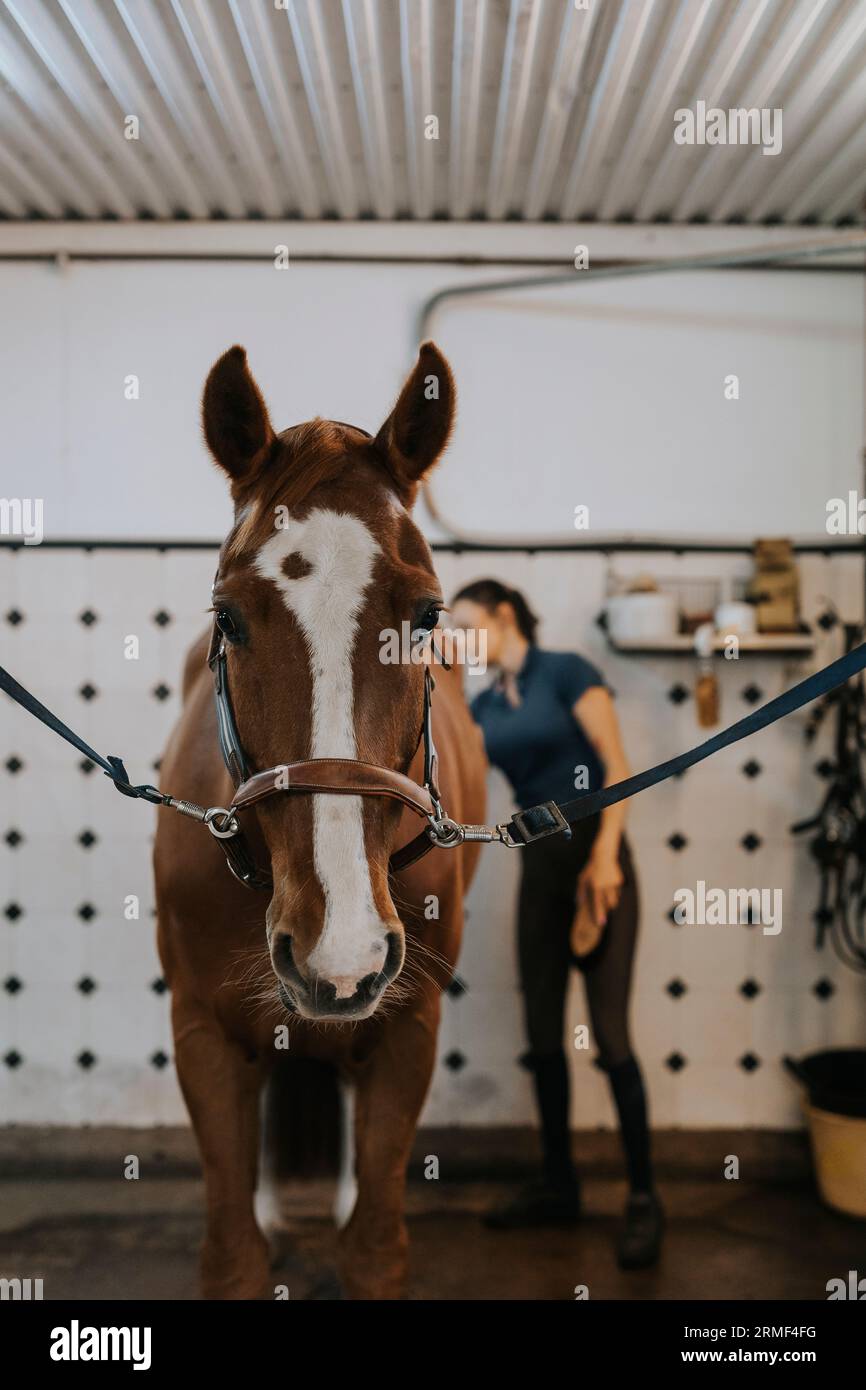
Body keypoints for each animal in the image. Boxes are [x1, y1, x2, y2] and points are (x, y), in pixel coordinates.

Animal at [153, 341, 487, 1300]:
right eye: (228, 615)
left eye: (427, 615)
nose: (340, 948)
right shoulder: (203, 1034)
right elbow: (233, 1256)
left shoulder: (408, 1030)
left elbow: (374, 1251)